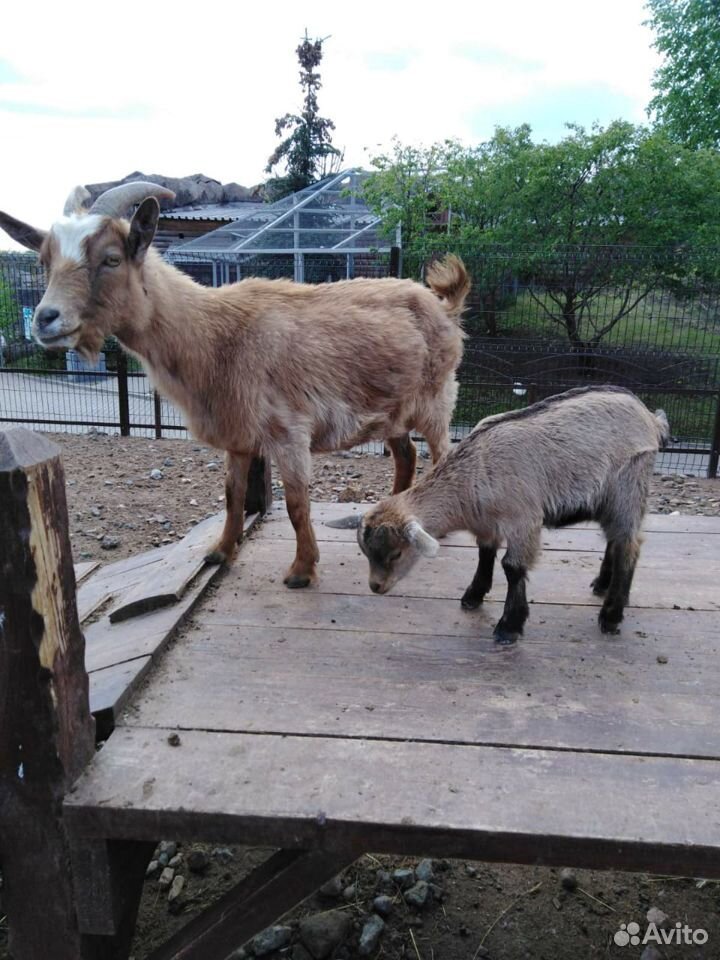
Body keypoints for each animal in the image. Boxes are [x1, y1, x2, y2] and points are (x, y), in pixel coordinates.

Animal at [0, 184, 470, 588]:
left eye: (111, 259)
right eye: (44, 262)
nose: (45, 319)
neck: (213, 334)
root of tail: (444, 305)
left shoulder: (289, 431)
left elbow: (297, 504)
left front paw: (301, 571)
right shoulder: (238, 435)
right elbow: (232, 495)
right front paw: (220, 551)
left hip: (437, 398)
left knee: (441, 454)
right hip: (394, 410)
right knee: (406, 456)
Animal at [358, 386, 669, 643]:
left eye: (396, 554)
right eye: (367, 554)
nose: (375, 586)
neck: (474, 470)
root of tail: (649, 417)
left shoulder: (524, 520)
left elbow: (512, 566)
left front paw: (509, 626)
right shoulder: (486, 523)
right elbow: (485, 553)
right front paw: (473, 595)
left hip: (629, 483)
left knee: (629, 544)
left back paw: (611, 615)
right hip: (608, 499)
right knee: (615, 538)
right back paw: (603, 585)